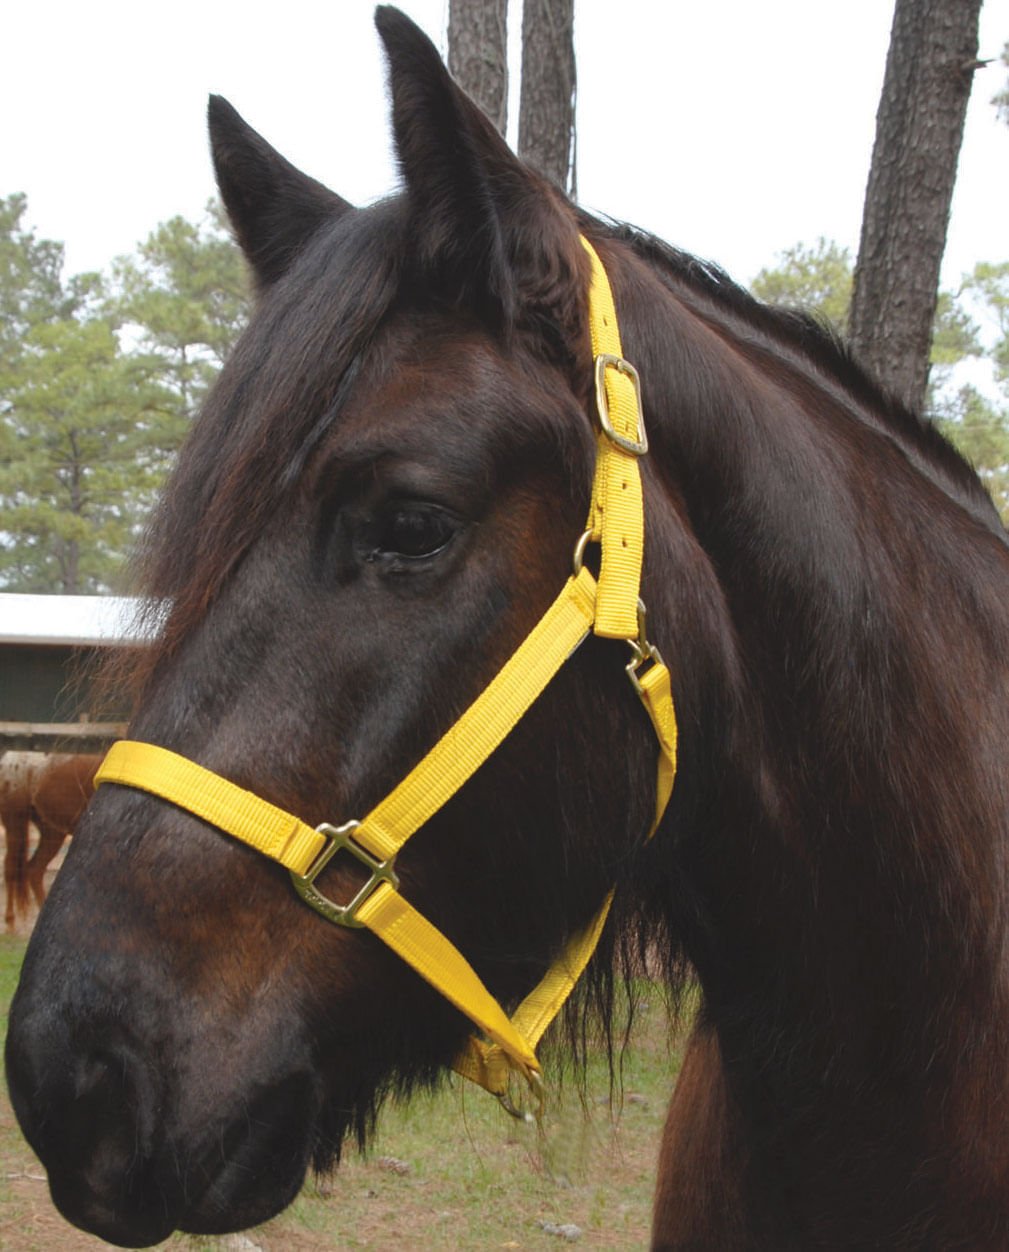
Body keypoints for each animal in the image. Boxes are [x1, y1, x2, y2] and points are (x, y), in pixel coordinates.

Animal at [0, 753, 99, 929]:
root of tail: (9, 759)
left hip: (51, 833)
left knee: (34, 870)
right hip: (16, 823)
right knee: (11, 868)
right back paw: (11, 923)